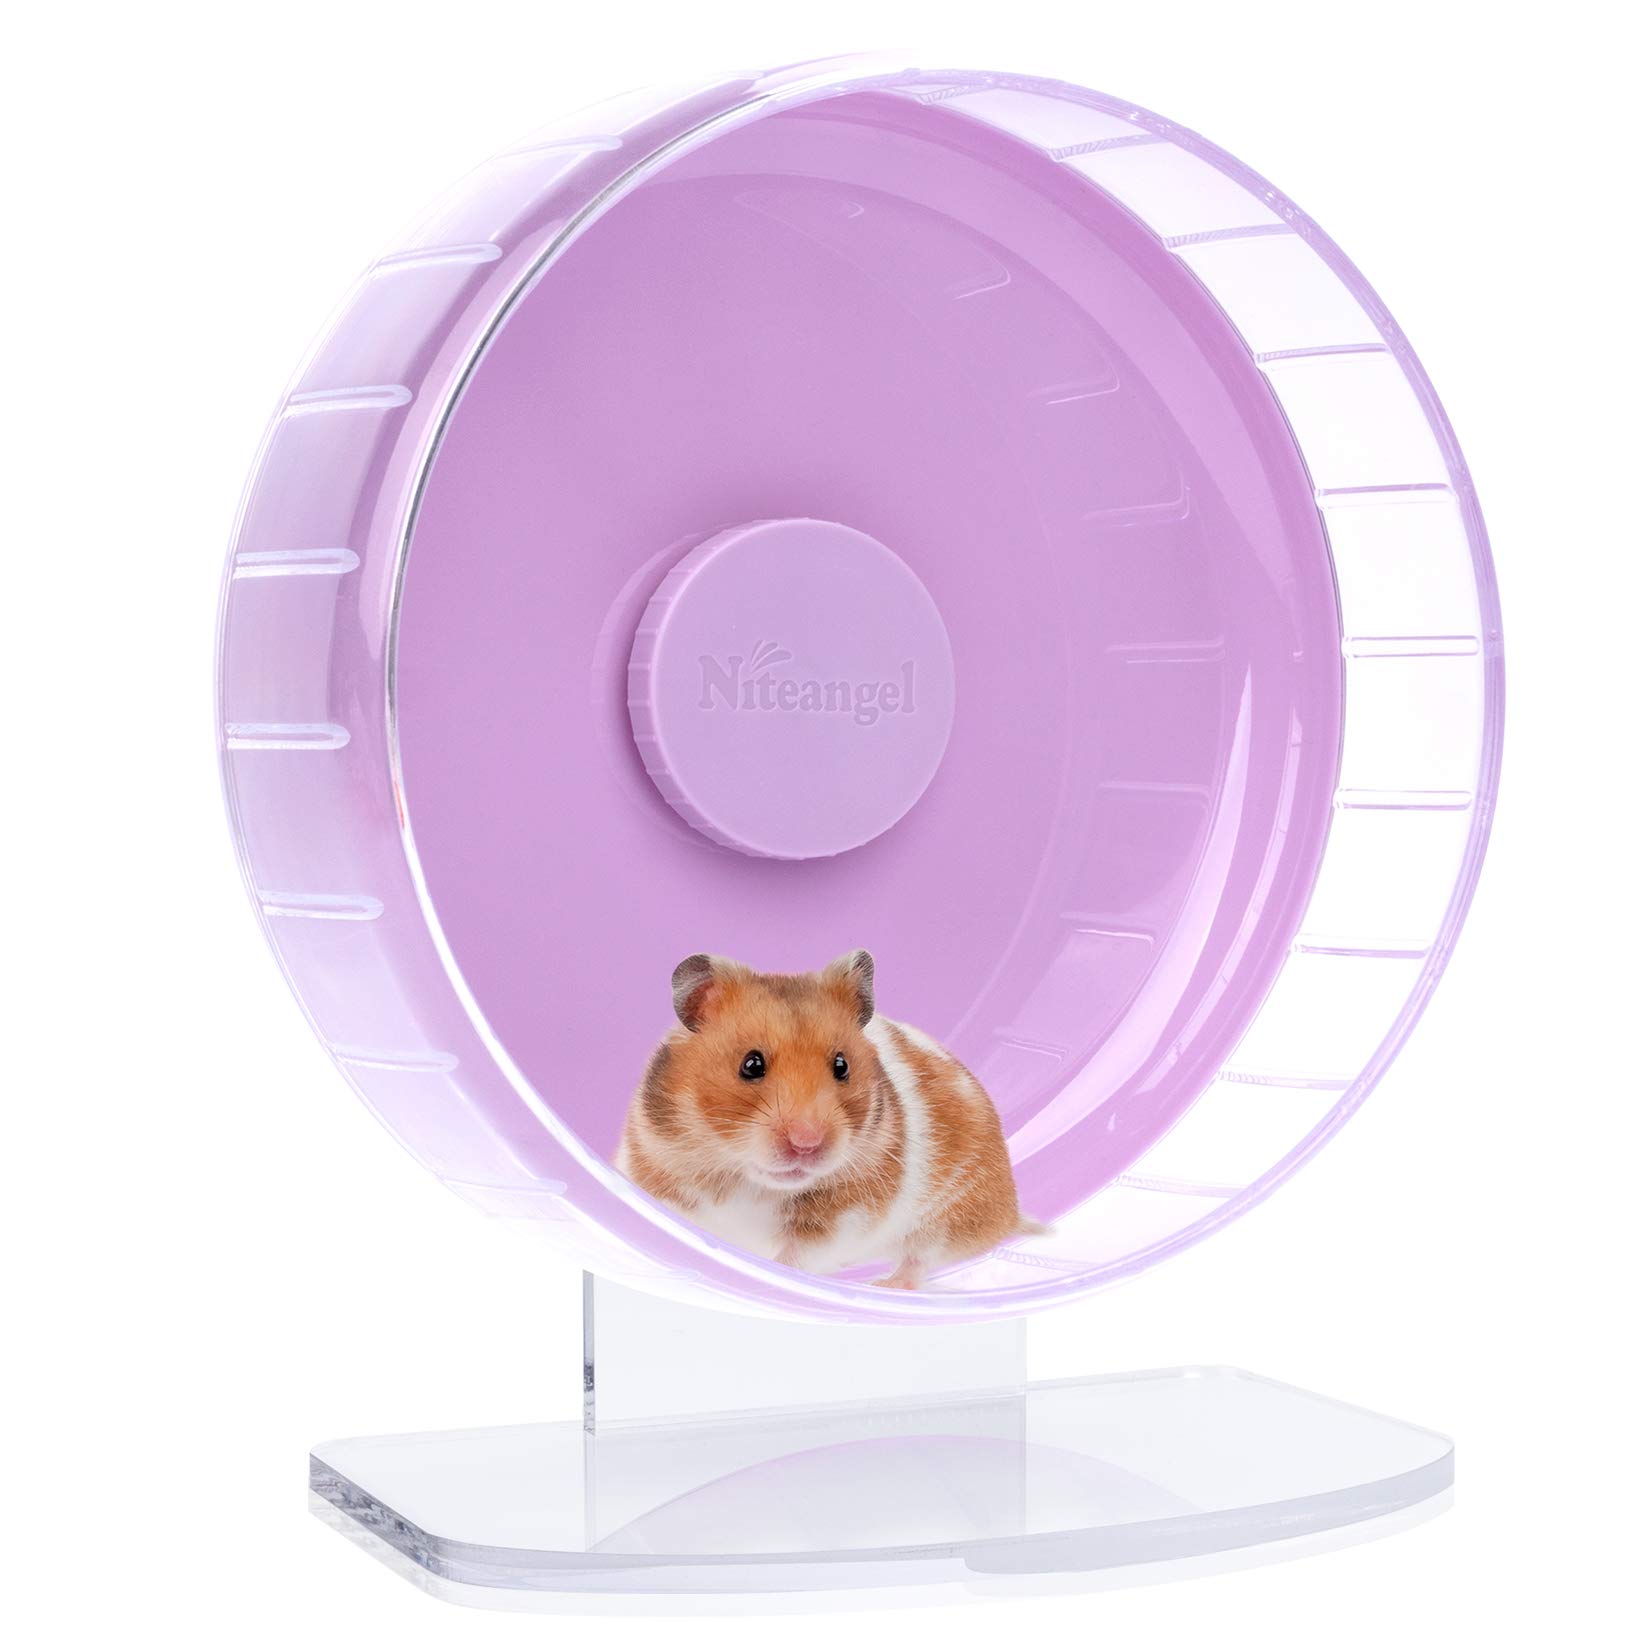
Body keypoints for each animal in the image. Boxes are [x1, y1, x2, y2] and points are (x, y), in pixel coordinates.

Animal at [615, 950, 1042, 1288]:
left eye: (842, 1066)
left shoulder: (844, 1217)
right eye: (751, 1064)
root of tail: (1009, 1213)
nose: (807, 1143)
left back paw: (885, 1285)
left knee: (918, 1259)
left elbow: (795, 1258)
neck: (749, 1182)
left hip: (949, 1216)